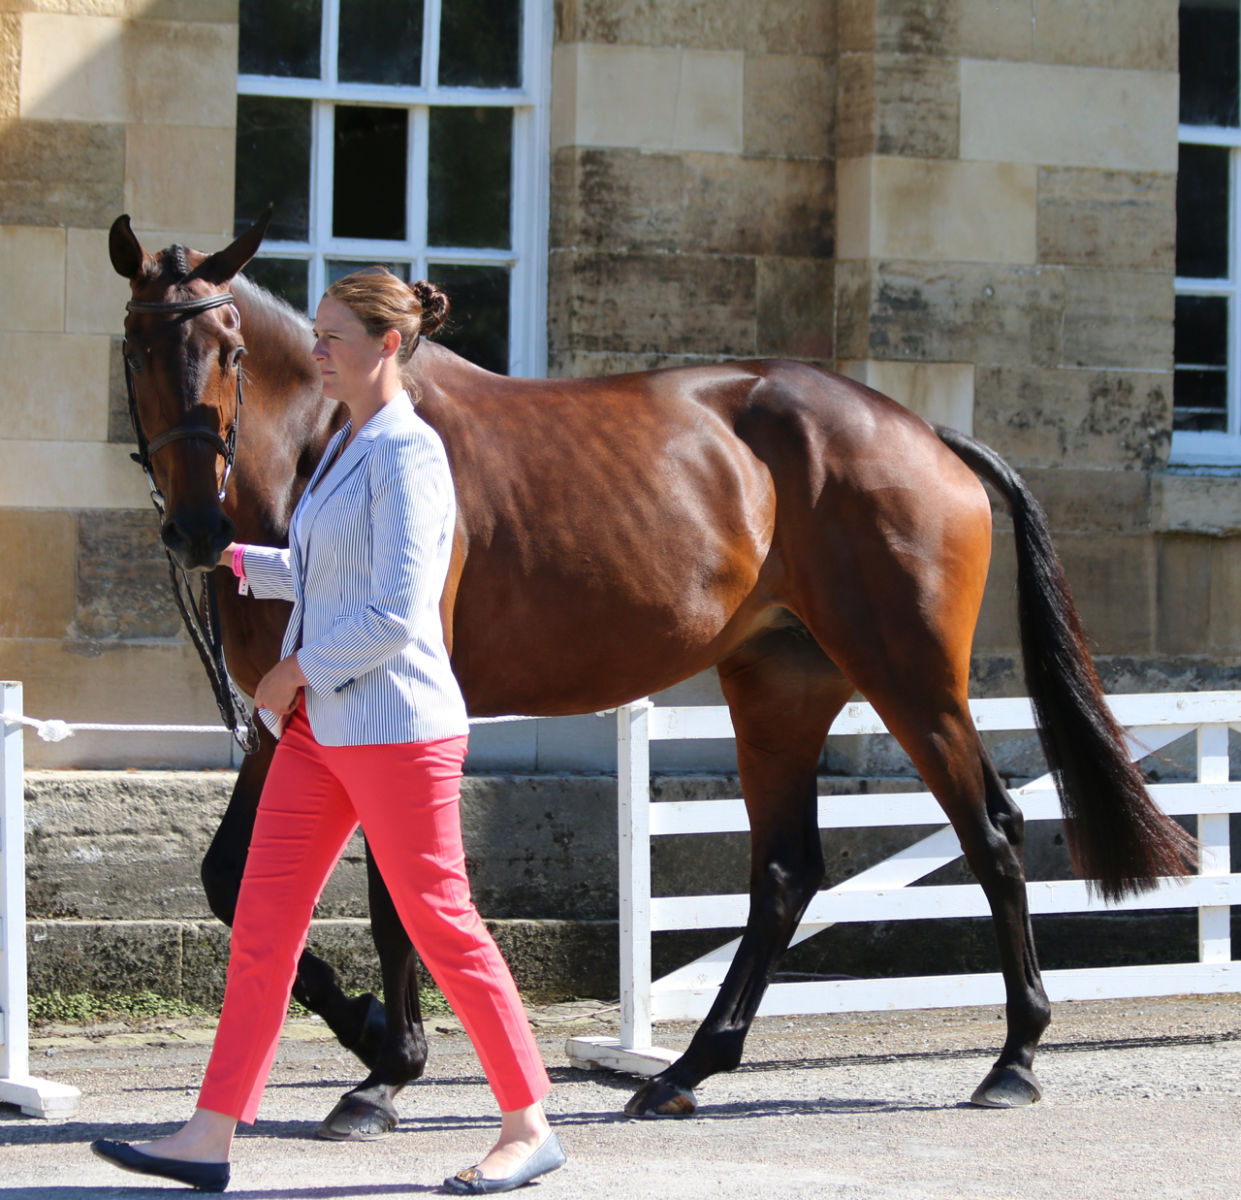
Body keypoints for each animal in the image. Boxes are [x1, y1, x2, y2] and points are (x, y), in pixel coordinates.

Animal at [108, 210, 1196, 1137]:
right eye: (138, 349)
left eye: (232, 350)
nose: (195, 530)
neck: (321, 453)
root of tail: (923, 434)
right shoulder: (287, 718)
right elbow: (228, 880)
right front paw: (373, 1031)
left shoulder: (398, 714)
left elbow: (392, 894)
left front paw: (386, 1072)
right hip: (780, 688)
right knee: (785, 874)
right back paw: (682, 1072)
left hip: (912, 682)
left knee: (993, 837)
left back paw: (1012, 1060)